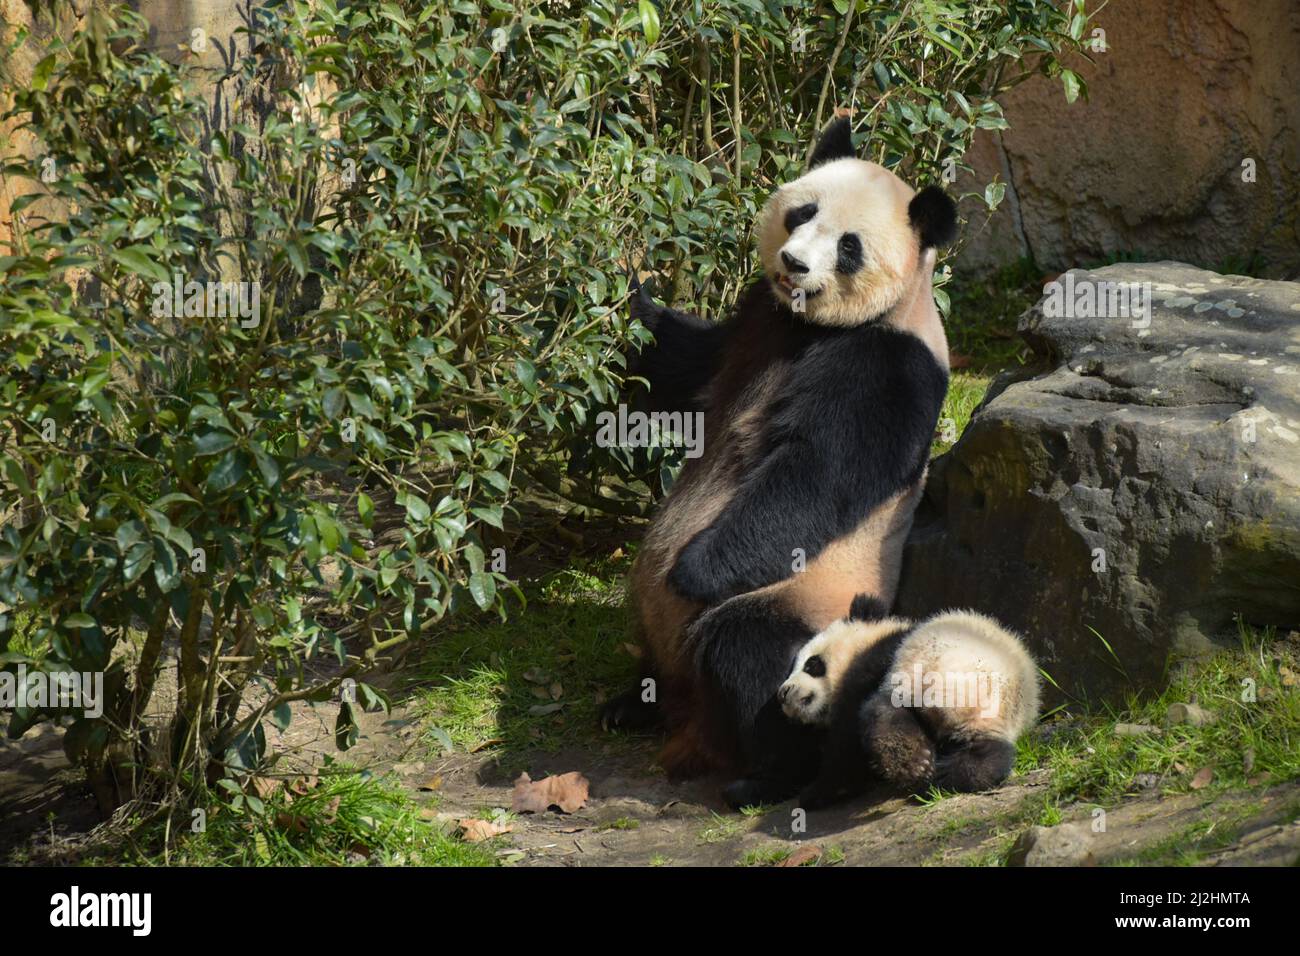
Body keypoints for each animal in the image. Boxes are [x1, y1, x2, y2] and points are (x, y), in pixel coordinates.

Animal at [600, 114, 958, 795]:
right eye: (802, 212)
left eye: (848, 247)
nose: (793, 263)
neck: (812, 327)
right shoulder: (753, 322)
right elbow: (679, 362)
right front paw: (616, 297)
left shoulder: (889, 364)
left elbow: (818, 474)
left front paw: (692, 569)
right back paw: (631, 703)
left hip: (811, 598)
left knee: (755, 655)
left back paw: (771, 777)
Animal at [774, 600, 1041, 809]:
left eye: (812, 664)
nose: (783, 693)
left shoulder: (874, 660)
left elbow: (845, 740)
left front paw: (818, 792)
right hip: (985, 726)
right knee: (986, 757)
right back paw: (940, 776)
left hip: (916, 670)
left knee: (881, 711)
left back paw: (910, 761)